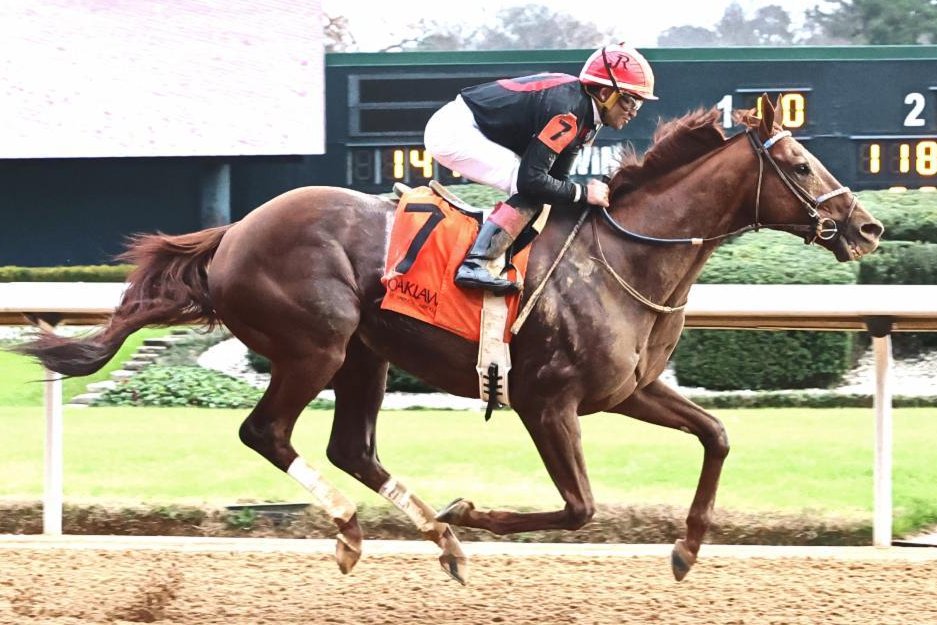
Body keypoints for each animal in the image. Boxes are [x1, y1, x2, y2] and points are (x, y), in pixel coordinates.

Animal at [15, 95, 883, 584]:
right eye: (799, 161)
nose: (867, 226)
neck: (626, 253)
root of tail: (234, 231)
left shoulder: (629, 389)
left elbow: (716, 433)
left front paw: (688, 547)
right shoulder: (546, 400)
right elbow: (578, 506)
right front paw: (475, 510)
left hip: (364, 353)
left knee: (350, 446)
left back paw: (436, 537)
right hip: (315, 345)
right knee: (266, 432)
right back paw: (361, 528)